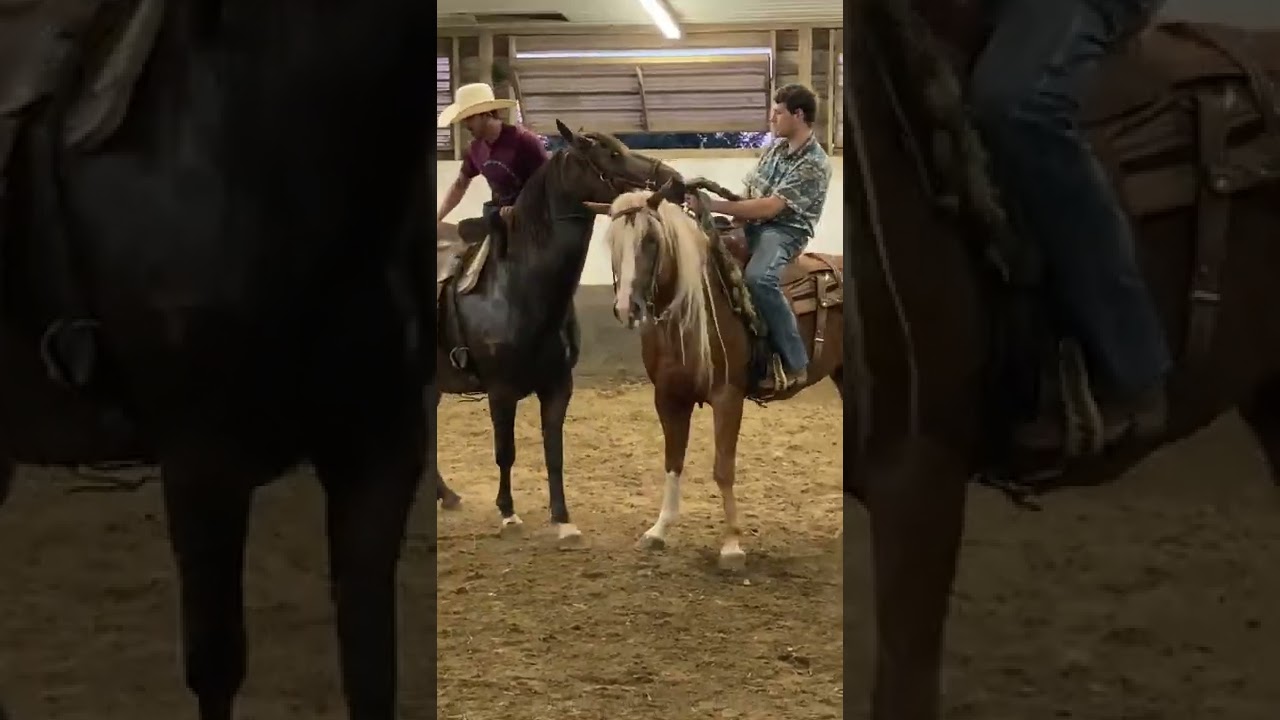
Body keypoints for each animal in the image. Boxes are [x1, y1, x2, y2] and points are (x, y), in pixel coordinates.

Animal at [434, 122, 680, 541]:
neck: (519, 285)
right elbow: (506, 451)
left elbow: (554, 451)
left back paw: (446, 495)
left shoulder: (558, 386)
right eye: (610, 154)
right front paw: (508, 513)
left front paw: (563, 519)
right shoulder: (501, 391)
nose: (673, 180)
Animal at [602, 181, 844, 570]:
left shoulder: (727, 397)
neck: (688, 312)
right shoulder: (667, 398)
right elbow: (673, 461)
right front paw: (658, 531)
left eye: (651, 240)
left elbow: (723, 468)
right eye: (613, 242)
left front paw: (731, 545)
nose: (627, 307)